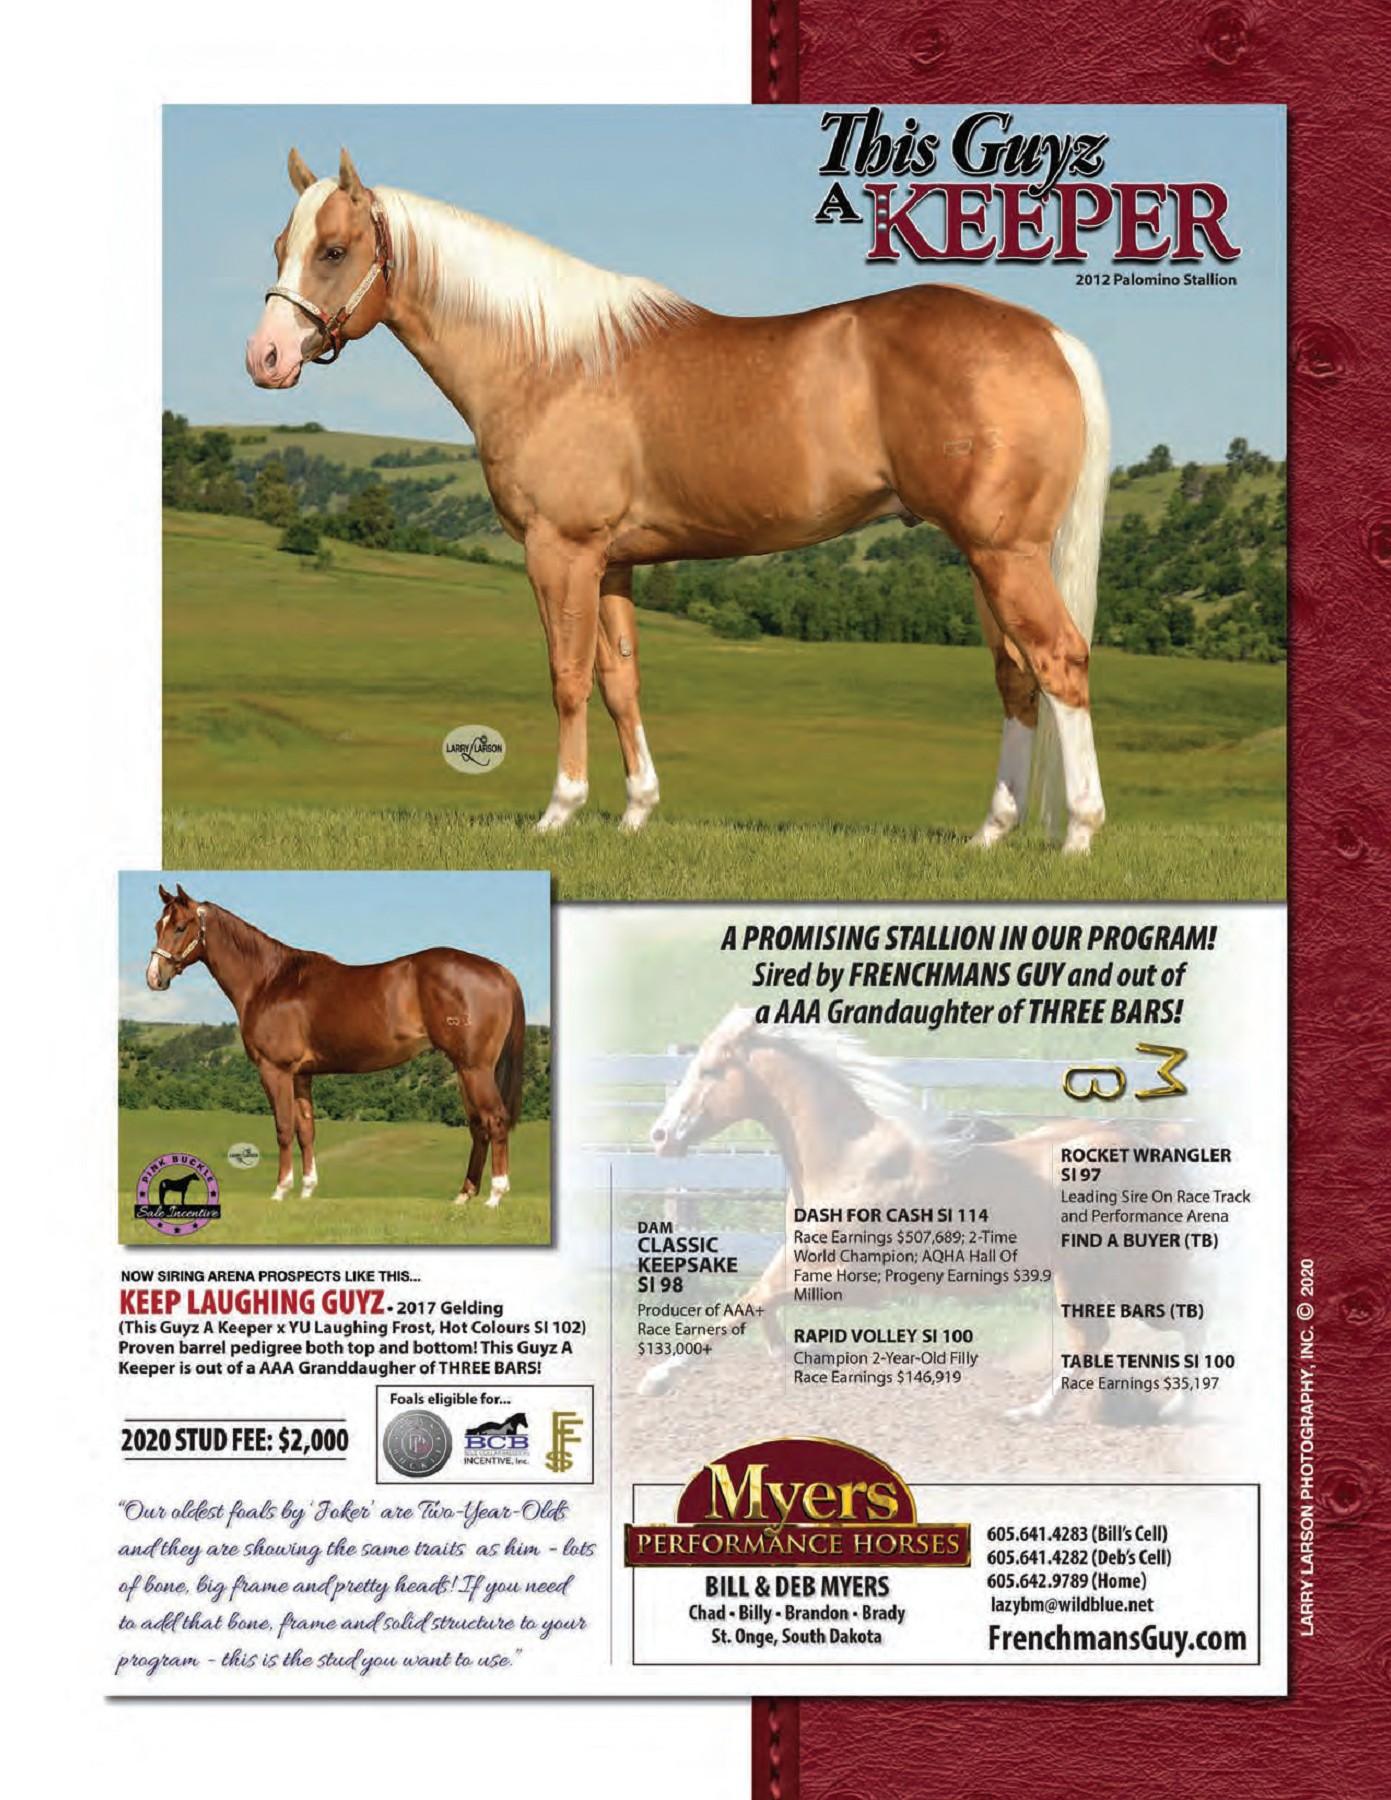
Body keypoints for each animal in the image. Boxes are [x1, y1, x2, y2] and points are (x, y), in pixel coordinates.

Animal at [145, 884, 526, 1207]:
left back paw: (495, 1196)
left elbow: (283, 1128)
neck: (270, 982)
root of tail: (500, 972)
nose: (154, 977)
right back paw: (464, 1195)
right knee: (478, 1126)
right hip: (465, 1070)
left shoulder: (275, 1070)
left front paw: (280, 1191)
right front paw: (307, 1190)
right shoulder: (301, 1075)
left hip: (475, 1069)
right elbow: (306, 1130)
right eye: (157, 925)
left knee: (495, 1120)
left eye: (180, 927)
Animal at [245, 148, 1110, 853]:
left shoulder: (559, 550)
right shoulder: (613, 563)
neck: (547, 359)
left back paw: (1078, 834)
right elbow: (619, 682)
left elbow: (565, 677)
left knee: (1060, 662)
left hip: (1004, 555)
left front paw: (558, 813)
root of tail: (1051, 338)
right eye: (280, 247)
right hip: (984, 557)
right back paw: (990, 834)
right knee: (1015, 678)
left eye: (332, 250)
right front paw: (635, 812)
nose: (266, 358)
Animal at [637, 1009, 1202, 1423]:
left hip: (1123, 1274)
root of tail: (1147, 1143)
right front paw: (795, 1357)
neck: (848, 1161)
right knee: (1109, 1337)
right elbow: (758, 1304)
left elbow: (745, 1304)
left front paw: (656, 1380)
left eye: (709, 1071)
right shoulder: (798, 1261)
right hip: (1091, 1276)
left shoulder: (851, 1282)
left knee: (1158, 1324)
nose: (660, 1136)